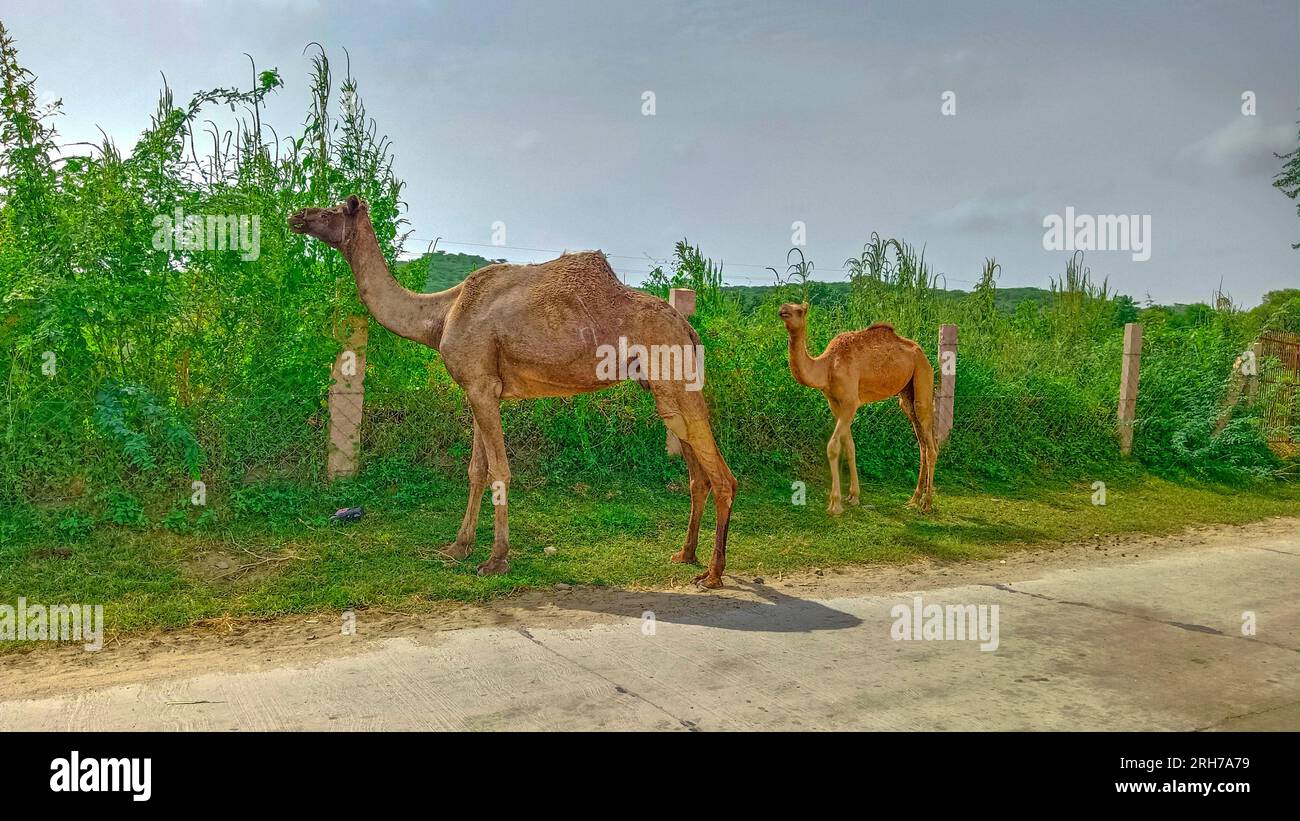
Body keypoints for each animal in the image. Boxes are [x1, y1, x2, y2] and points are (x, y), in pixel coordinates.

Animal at [288, 196, 737, 587]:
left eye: (330, 210)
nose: (297, 215)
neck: (440, 315)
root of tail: (689, 328)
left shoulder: (482, 388)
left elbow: (499, 471)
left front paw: (496, 559)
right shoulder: (477, 388)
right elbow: (475, 470)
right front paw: (458, 547)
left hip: (674, 378)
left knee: (721, 474)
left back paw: (713, 573)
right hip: (663, 391)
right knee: (696, 472)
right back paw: (686, 554)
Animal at [778, 302, 937, 515]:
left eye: (799, 311)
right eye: (786, 305)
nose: (783, 310)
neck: (827, 367)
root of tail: (922, 354)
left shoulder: (850, 403)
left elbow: (833, 447)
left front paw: (835, 504)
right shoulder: (835, 404)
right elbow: (849, 447)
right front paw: (853, 496)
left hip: (923, 376)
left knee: (930, 445)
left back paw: (927, 504)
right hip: (907, 396)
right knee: (922, 444)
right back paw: (914, 500)